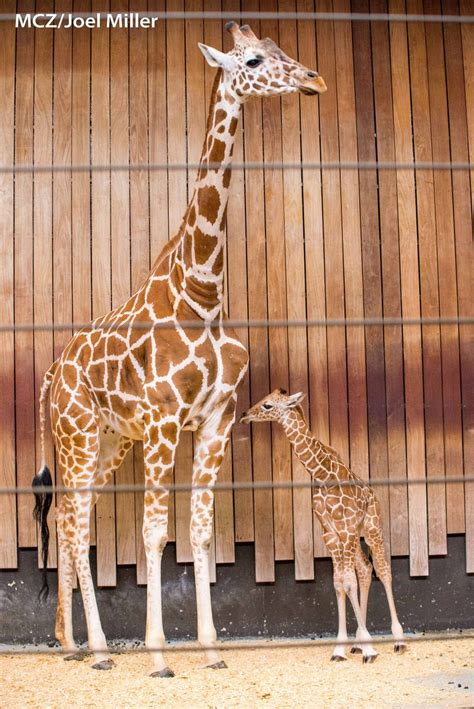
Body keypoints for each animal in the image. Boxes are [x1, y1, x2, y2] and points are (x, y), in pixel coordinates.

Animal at [32, 23, 326, 676]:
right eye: (253, 60)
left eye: (281, 49)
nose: (314, 79)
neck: (202, 295)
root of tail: (51, 374)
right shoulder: (165, 422)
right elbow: (153, 534)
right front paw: (159, 653)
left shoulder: (214, 420)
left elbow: (199, 532)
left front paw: (211, 649)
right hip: (78, 434)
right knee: (73, 521)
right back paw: (97, 649)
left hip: (109, 440)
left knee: (68, 518)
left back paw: (69, 642)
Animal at [240, 389, 406, 663]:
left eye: (267, 406)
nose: (244, 415)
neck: (321, 475)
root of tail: (373, 494)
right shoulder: (330, 533)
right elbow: (340, 582)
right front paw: (342, 648)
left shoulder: (346, 529)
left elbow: (348, 581)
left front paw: (369, 649)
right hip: (354, 536)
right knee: (365, 568)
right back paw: (358, 644)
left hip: (371, 527)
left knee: (383, 570)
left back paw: (399, 640)